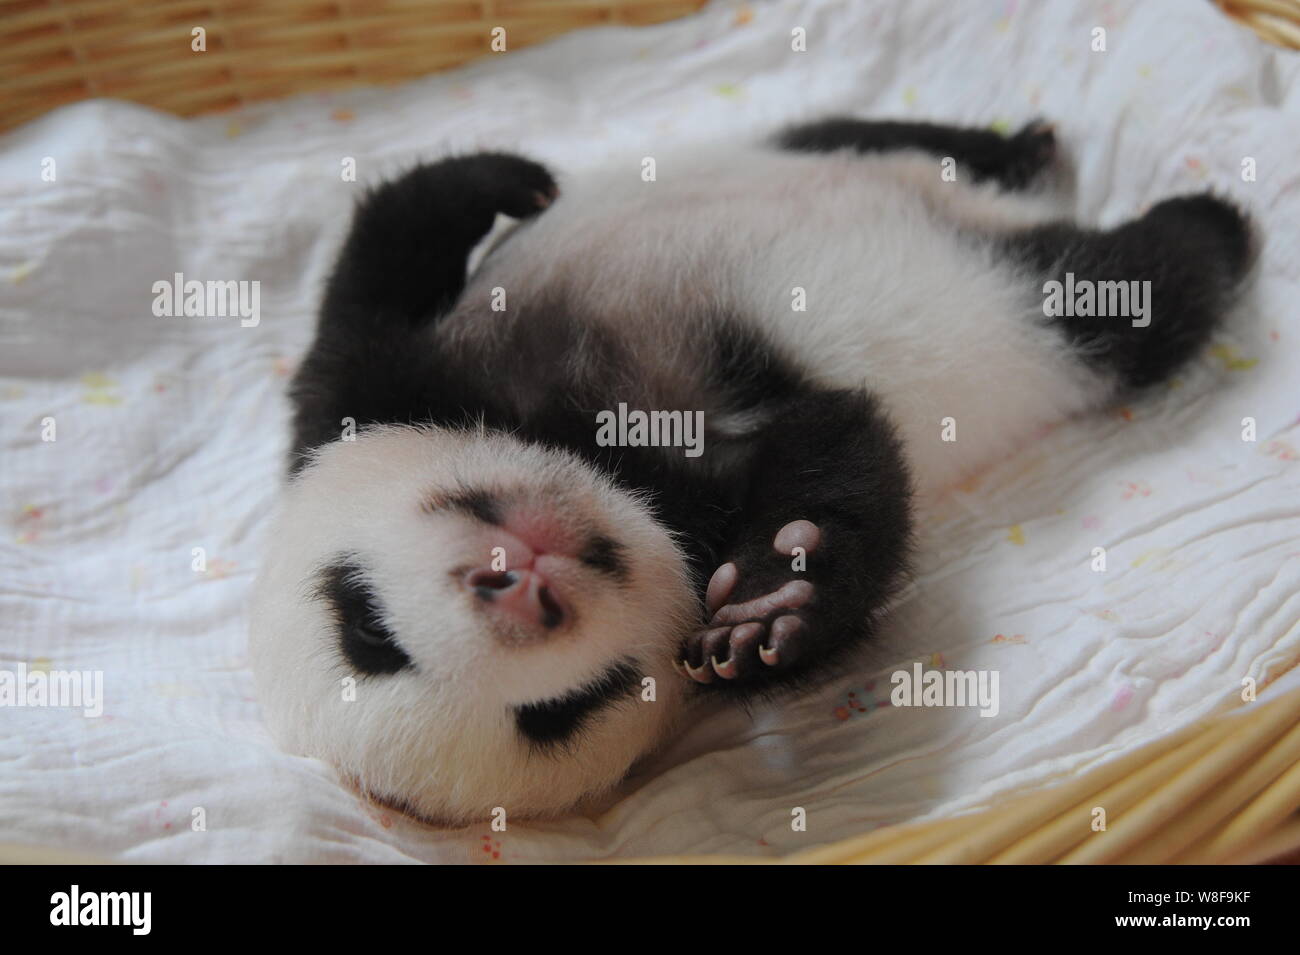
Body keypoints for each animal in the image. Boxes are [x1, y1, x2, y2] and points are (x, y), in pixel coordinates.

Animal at [248, 117, 1255, 825]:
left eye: (365, 627)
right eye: (561, 709)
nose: (521, 586)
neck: (579, 449)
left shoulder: (383, 390)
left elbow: (373, 276)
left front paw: (502, 177)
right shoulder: (687, 498)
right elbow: (835, 440)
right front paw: (773, 609)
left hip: (788, 148)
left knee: (877, 130)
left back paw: (1032, 146)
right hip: (1034, 313)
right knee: (1124, 296)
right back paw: (1207, 225)